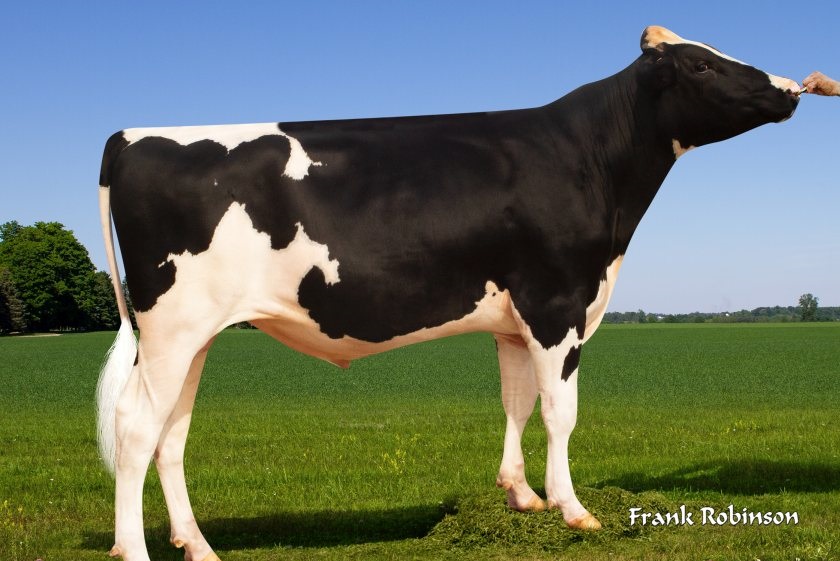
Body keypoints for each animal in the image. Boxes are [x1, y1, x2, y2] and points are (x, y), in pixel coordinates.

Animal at [96, 26, 801, 561]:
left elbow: (516, 403)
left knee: (171, 434)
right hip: (172, 326)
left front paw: (521, 497)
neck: (590, 160)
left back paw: (197, 545)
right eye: (702, 64)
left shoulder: (515, 319)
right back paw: (133, 550)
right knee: (135, 425)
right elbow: (560, 411)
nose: (790, 90)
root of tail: (128, 136)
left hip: (194, 335)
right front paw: (573, 510)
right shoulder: (557, 304)